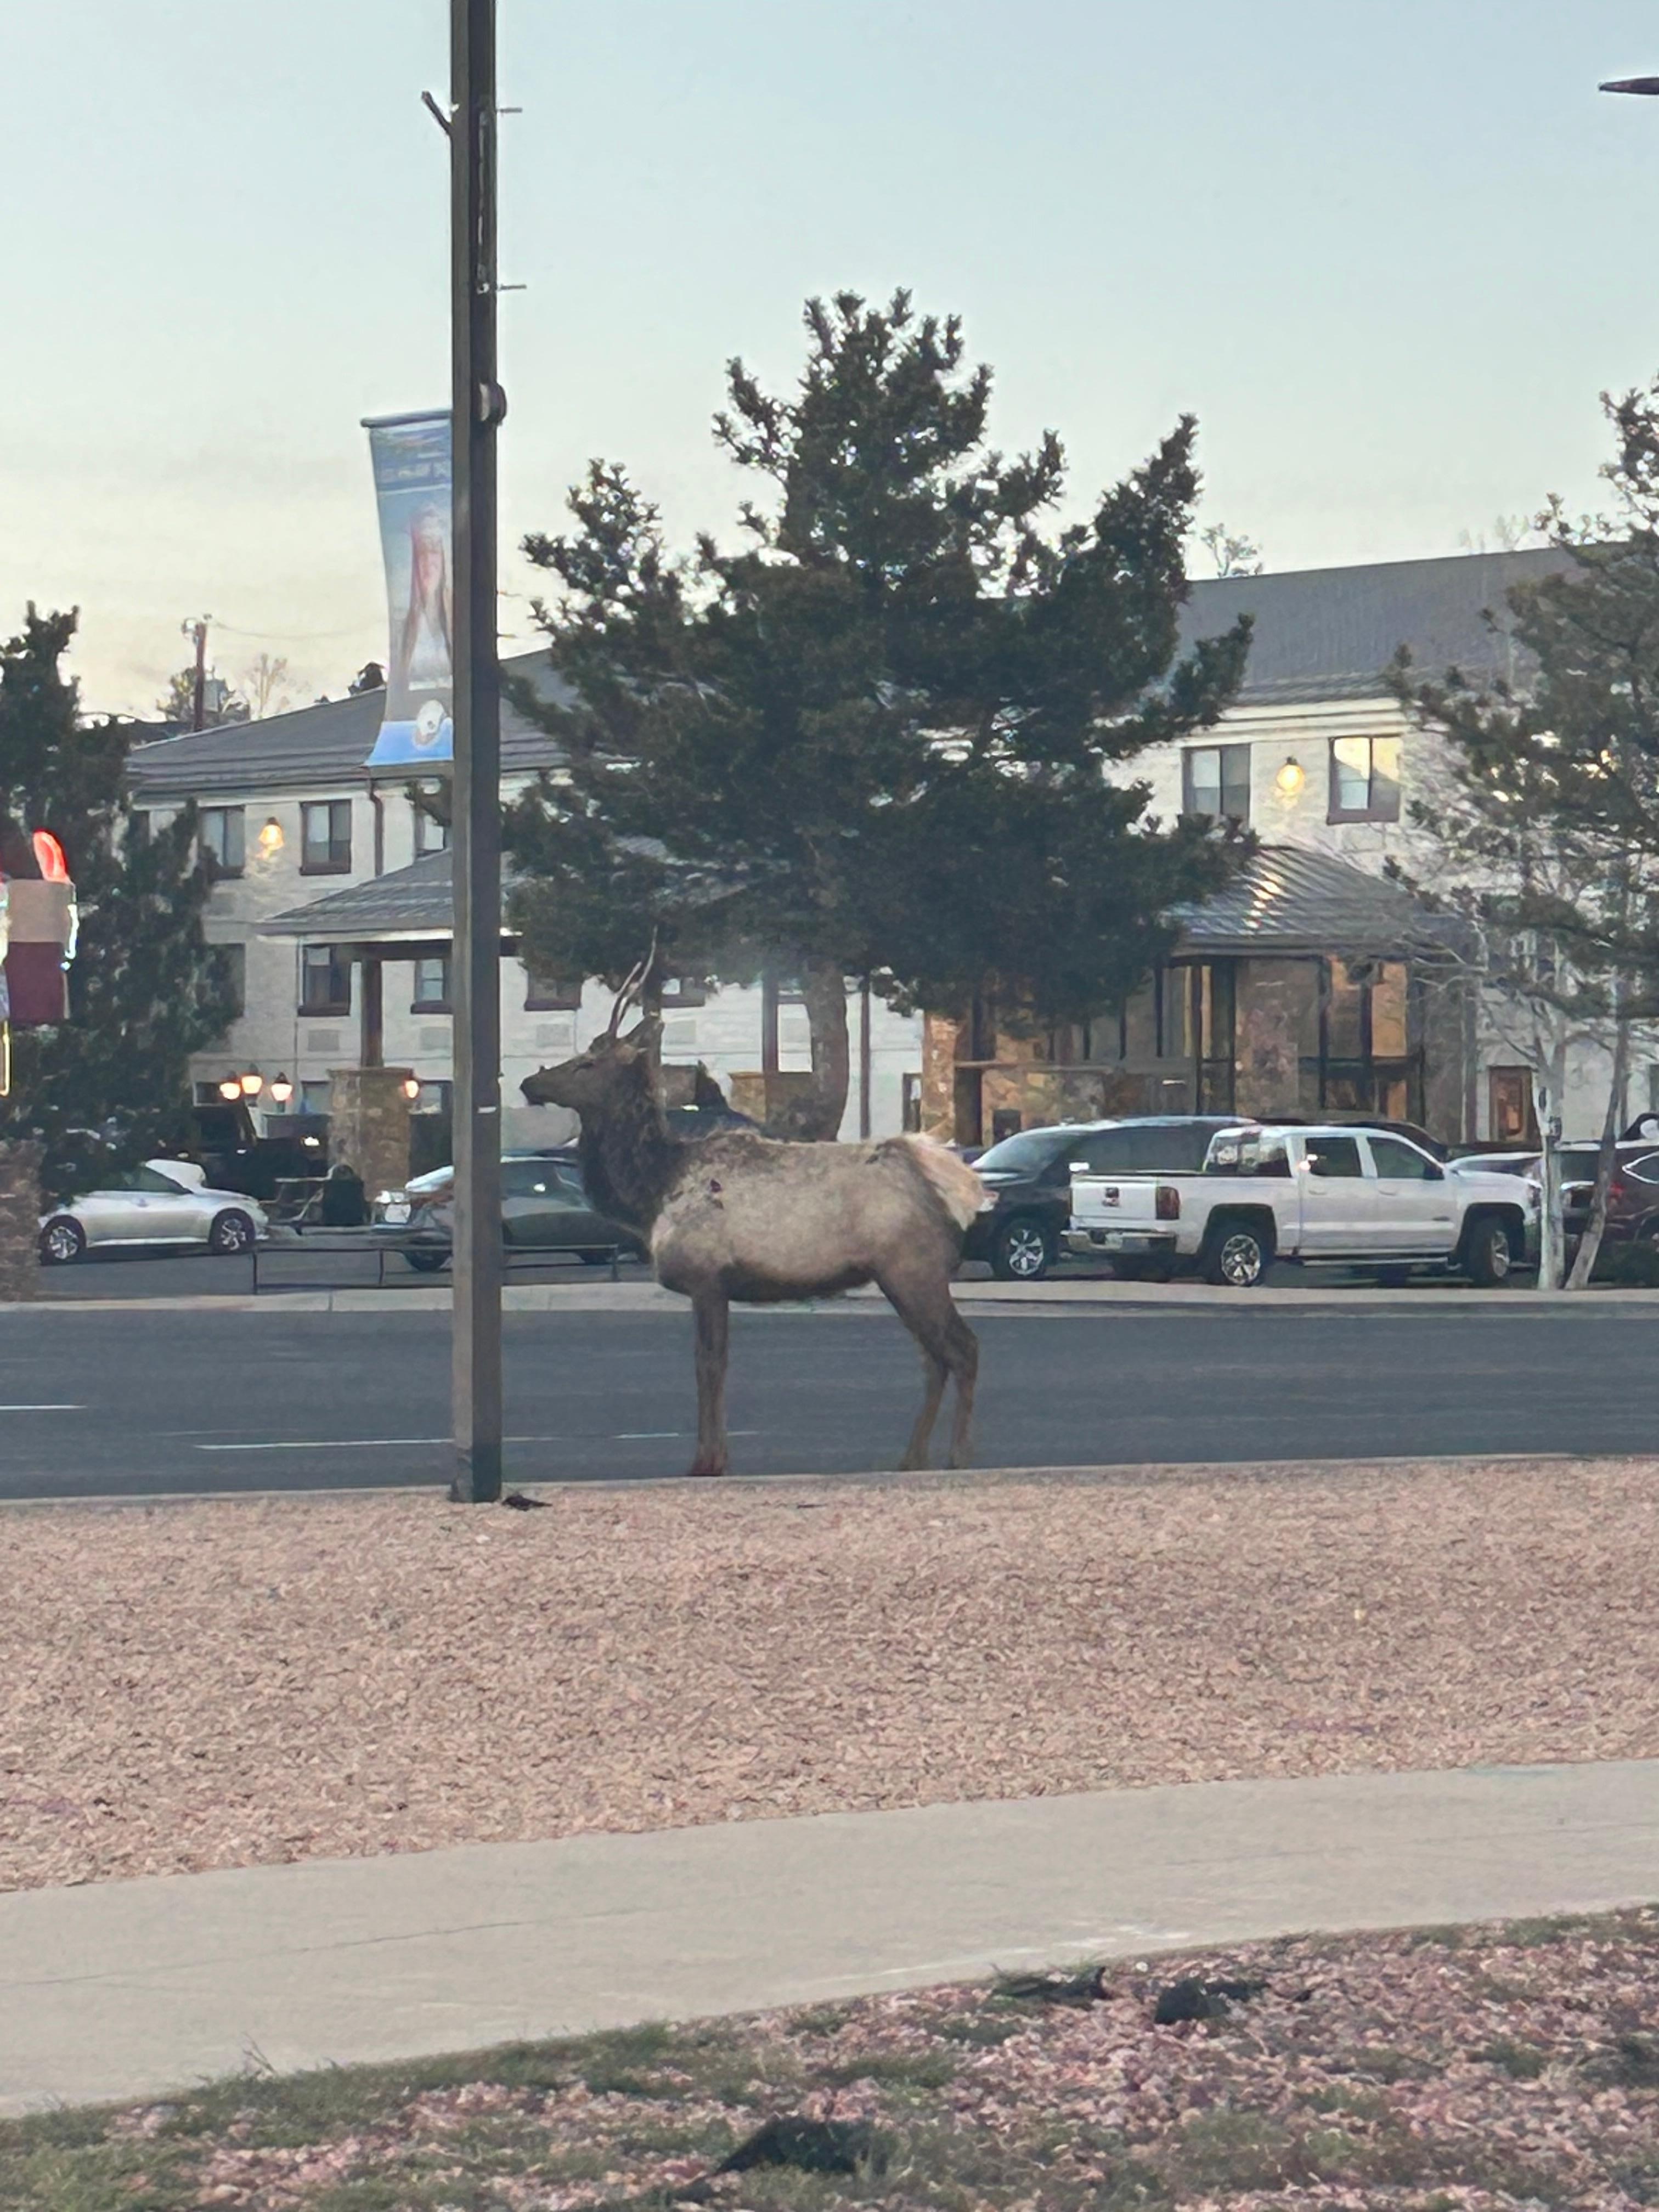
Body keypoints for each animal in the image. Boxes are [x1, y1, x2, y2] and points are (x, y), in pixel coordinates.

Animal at [520, 957, 989, 1478]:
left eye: (587, 1063)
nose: (529, 1083)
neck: (652, 1190)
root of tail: (954, 1189)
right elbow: (715, 1366)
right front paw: (714, 1457)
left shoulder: (706, 1277)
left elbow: (709, 1366)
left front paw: (707, 1461)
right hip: (900, 1277)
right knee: (934, 1358)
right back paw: (911, 1458)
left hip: (913, 1269)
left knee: (963, 1349)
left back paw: (959, 1455)